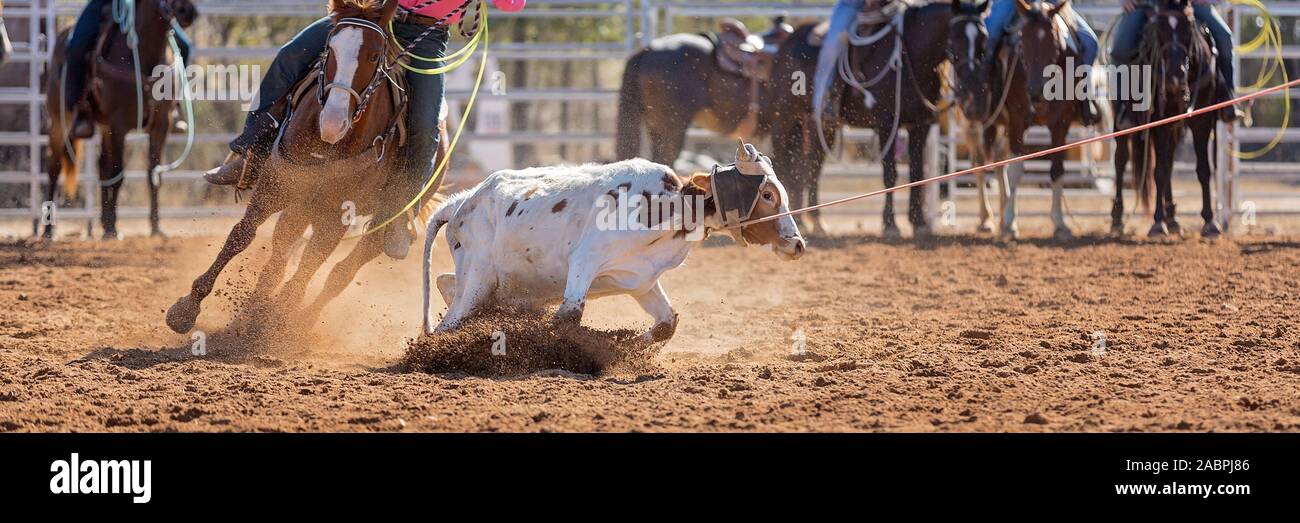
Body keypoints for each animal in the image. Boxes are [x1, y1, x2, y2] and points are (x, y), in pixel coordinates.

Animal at [421, 141, 805, 342]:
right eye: (768, 194)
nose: (798, 244)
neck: (673, 205)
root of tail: (463, 200)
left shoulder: (641, 280)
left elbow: (667, 323)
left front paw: (630, 344)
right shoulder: (585, 259)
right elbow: (569, 315)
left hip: (486, 284)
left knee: (446, 284)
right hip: (478, 278)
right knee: (447, 323)